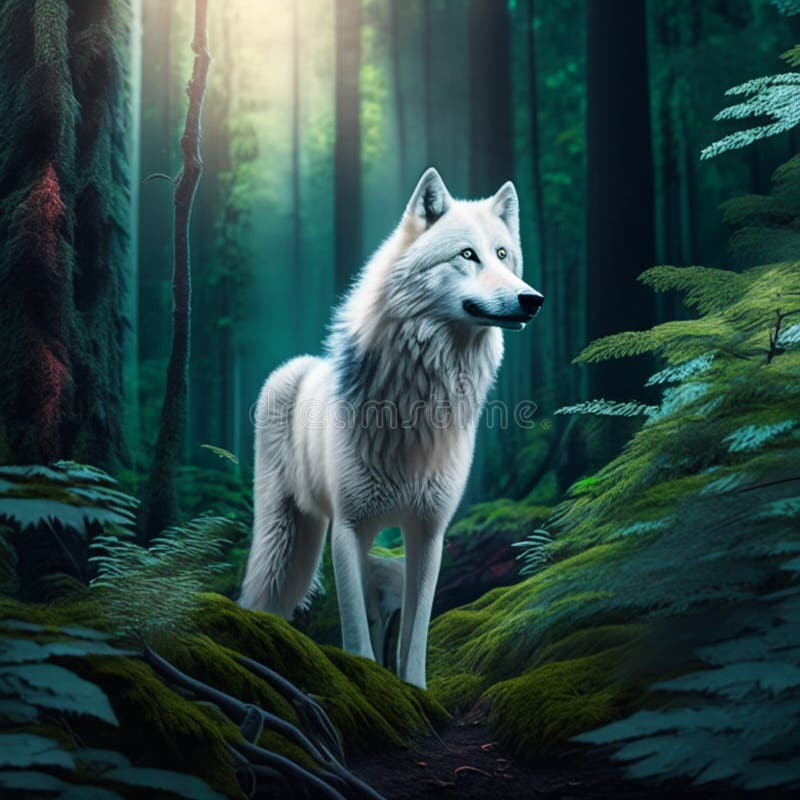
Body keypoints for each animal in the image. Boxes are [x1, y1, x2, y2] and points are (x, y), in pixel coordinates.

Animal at [239, 168, 542, 689]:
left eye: (504, 255)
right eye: (468, 255)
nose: (532, 299)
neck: (415, 405)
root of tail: (296, 367)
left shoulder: (428, 531)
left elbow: (414, 635)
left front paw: (415, 690)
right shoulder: (348, 528)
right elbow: (356, 630)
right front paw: (365, 680)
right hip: (287, 540)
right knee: (262, 595)